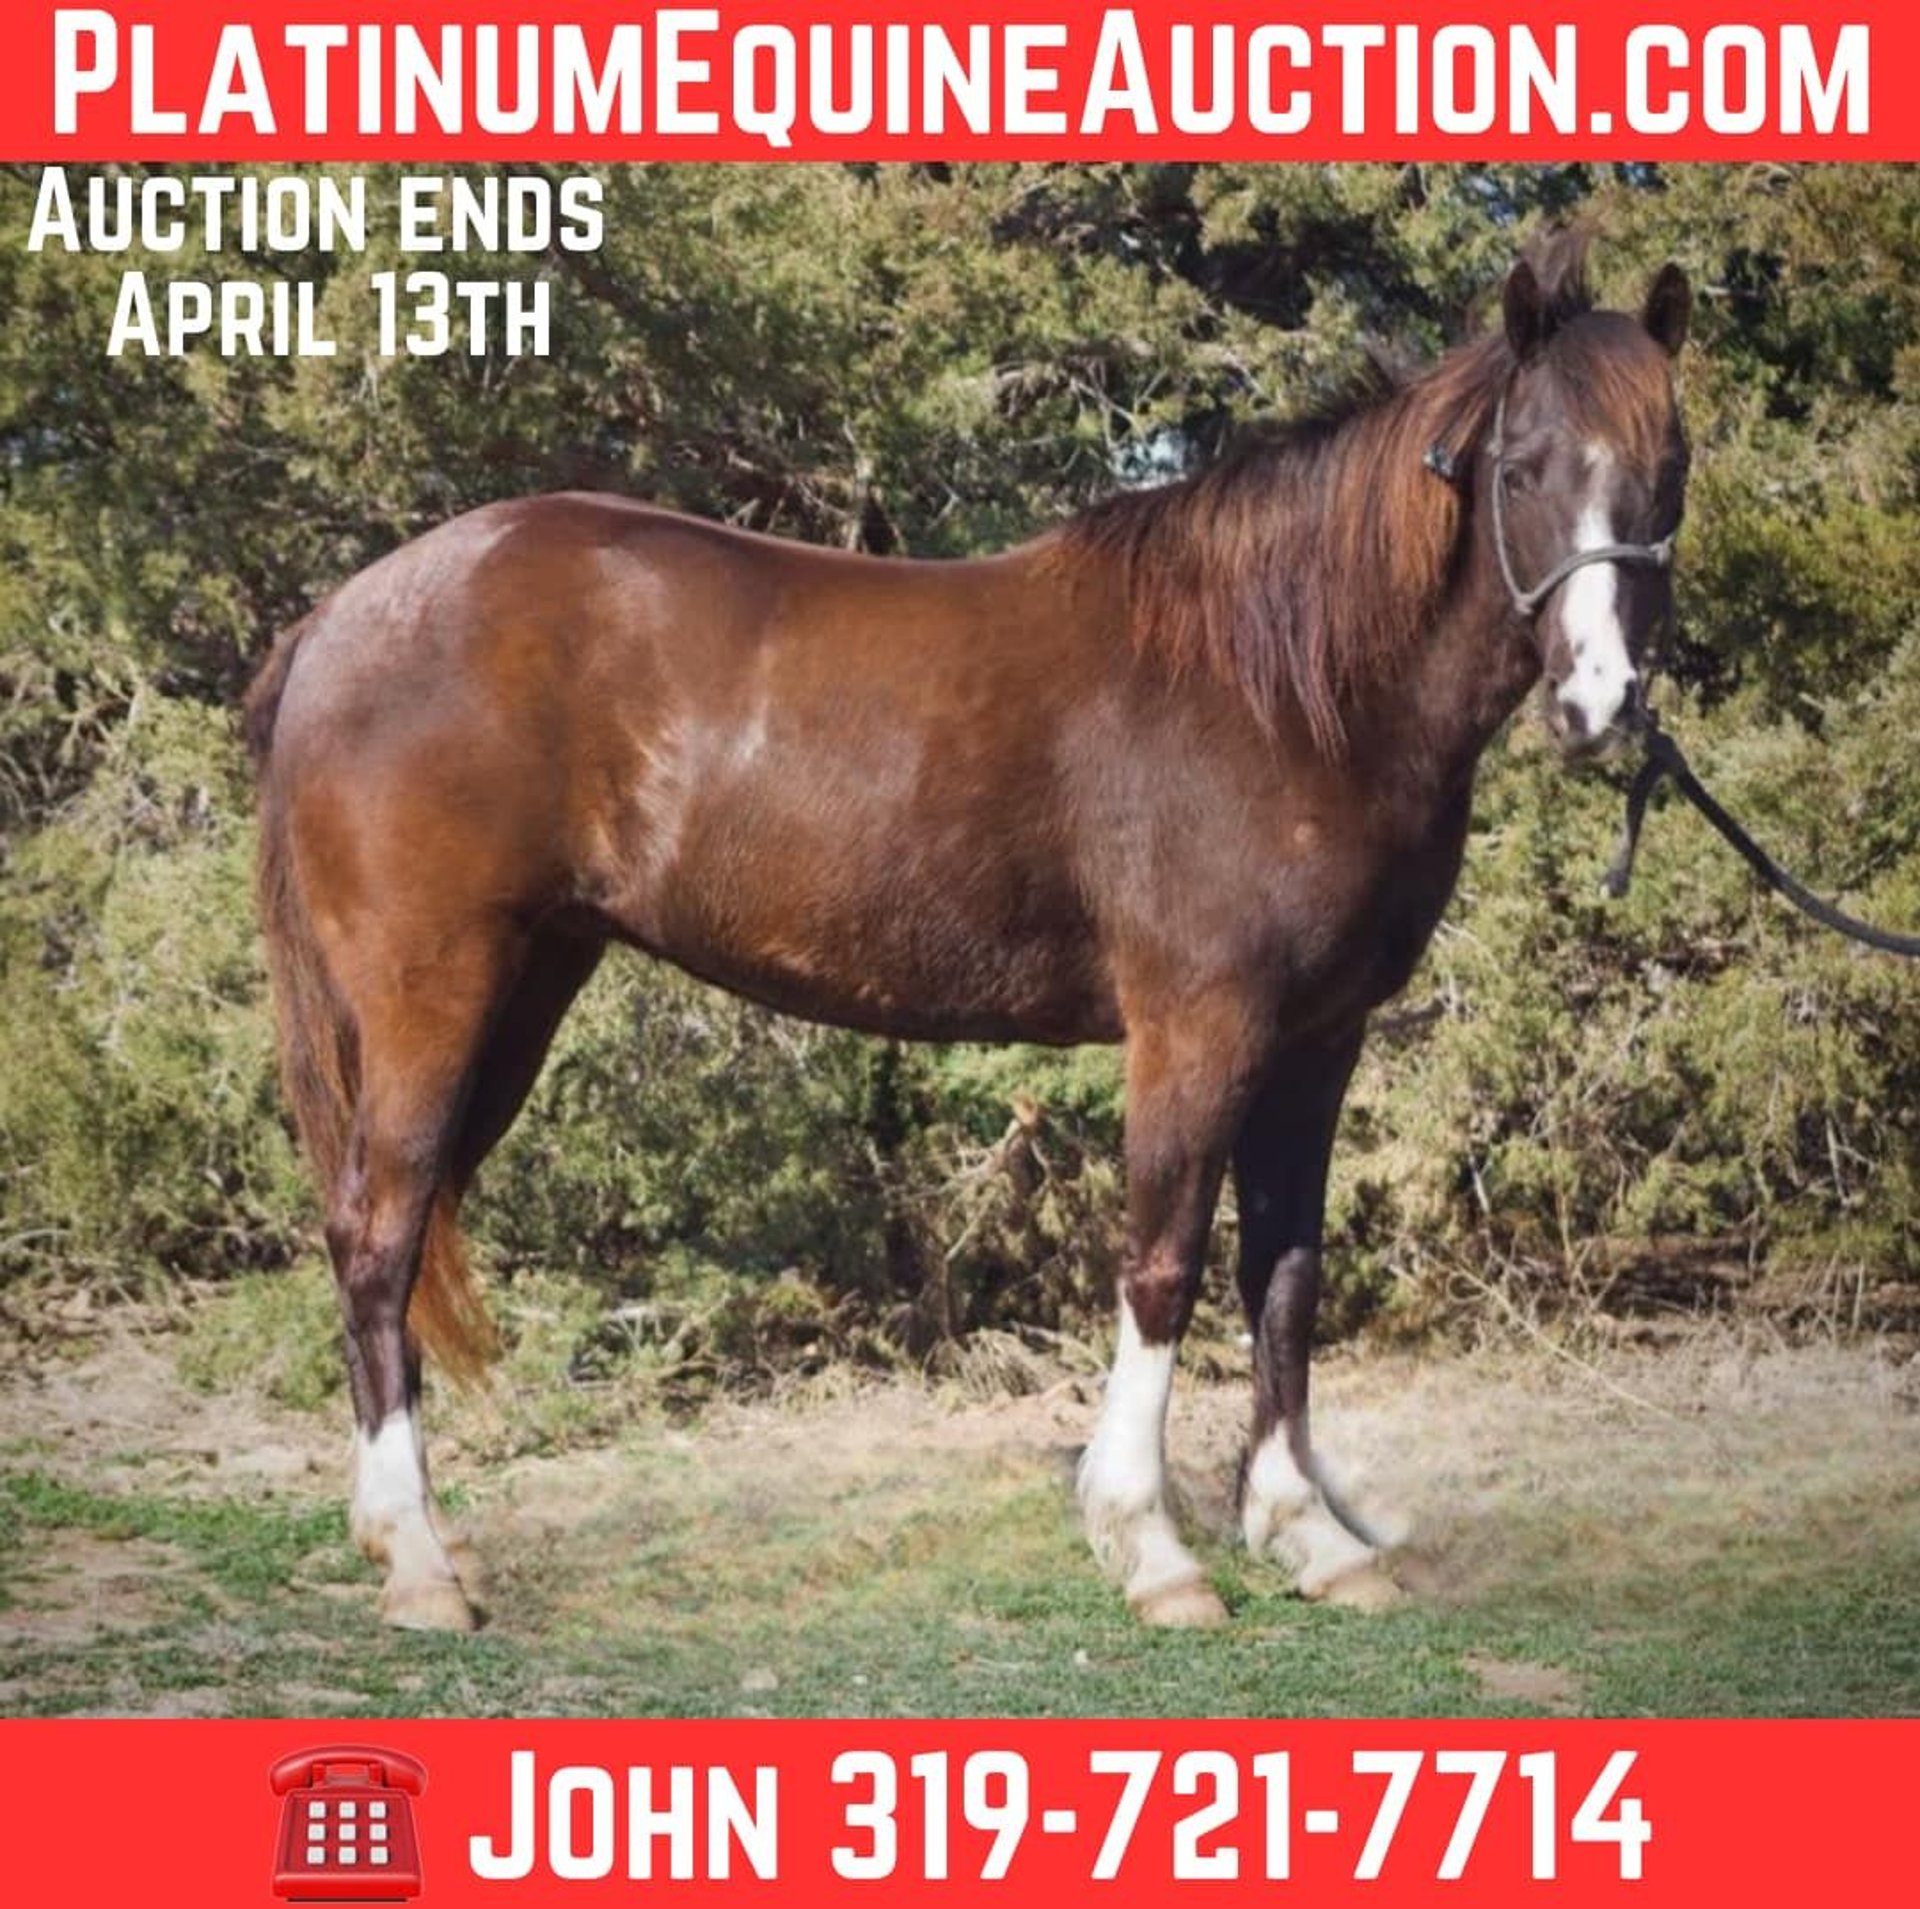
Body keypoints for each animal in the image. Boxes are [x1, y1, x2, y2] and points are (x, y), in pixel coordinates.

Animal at [246, 232, 1692, 1632]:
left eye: (1670, 470)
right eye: (1521, 466)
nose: (1602, 704)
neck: (1283, 687)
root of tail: (340, 619)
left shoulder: (1317, 1042)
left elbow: (1285, 1275)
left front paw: (1311, 1537)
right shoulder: (1198, 1028)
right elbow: (1162, 1264)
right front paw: (1152, 1548)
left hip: (526, 986)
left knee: (398, 1230)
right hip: (434, 993)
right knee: (377, 1237)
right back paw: (418, 1564)